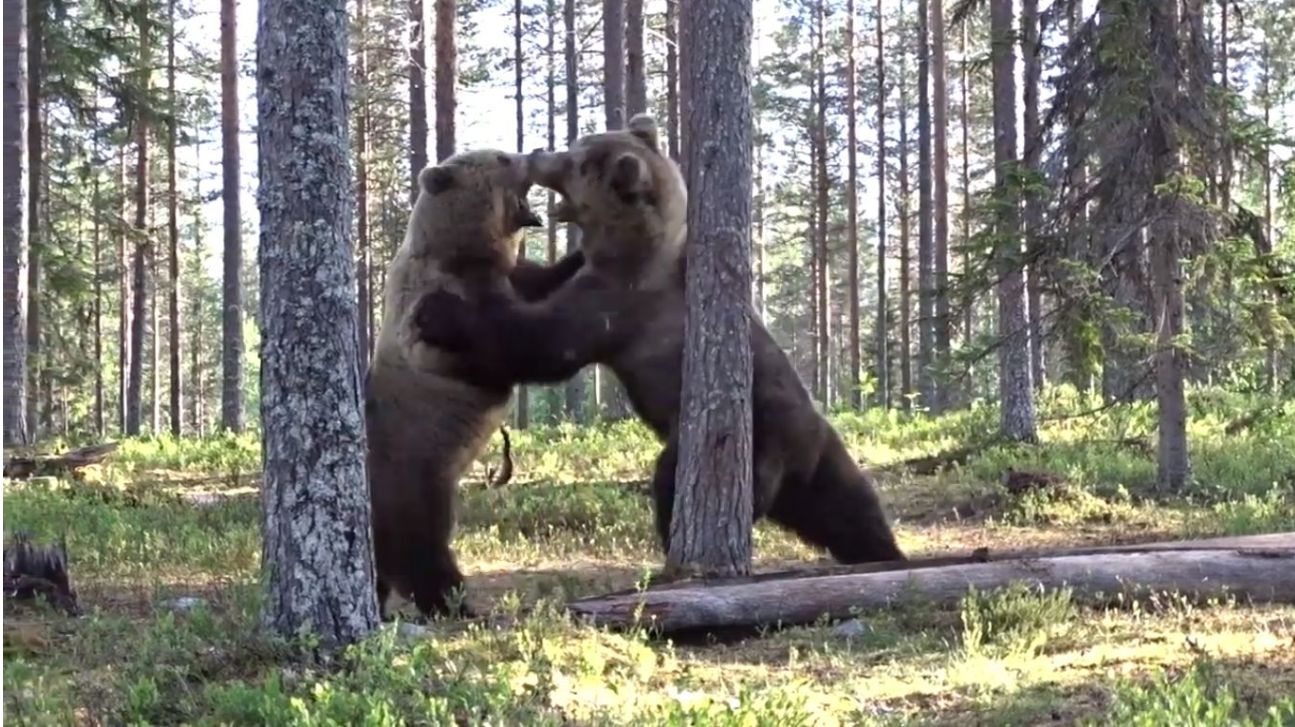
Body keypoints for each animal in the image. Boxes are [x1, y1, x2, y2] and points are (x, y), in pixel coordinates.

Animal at [367, 148, 584, 619]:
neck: (466, 255)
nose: (532, 152)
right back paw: (456, 603)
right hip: (413, 478)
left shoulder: (512, 277)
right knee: (422, 551)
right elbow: (511, 347)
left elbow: (543, 281)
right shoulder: (440, 315)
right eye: (502, 157)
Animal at [410, 115, 905, 568]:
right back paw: (886, 554)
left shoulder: (619, 304)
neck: (632, 248)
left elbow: (541, 344)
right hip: (823, 458)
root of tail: (792, 459)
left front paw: (437, 312)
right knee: (852, 509)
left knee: (672, 480)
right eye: (576, 144)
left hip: (746, 438)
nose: (536, 153)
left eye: (574, 161)